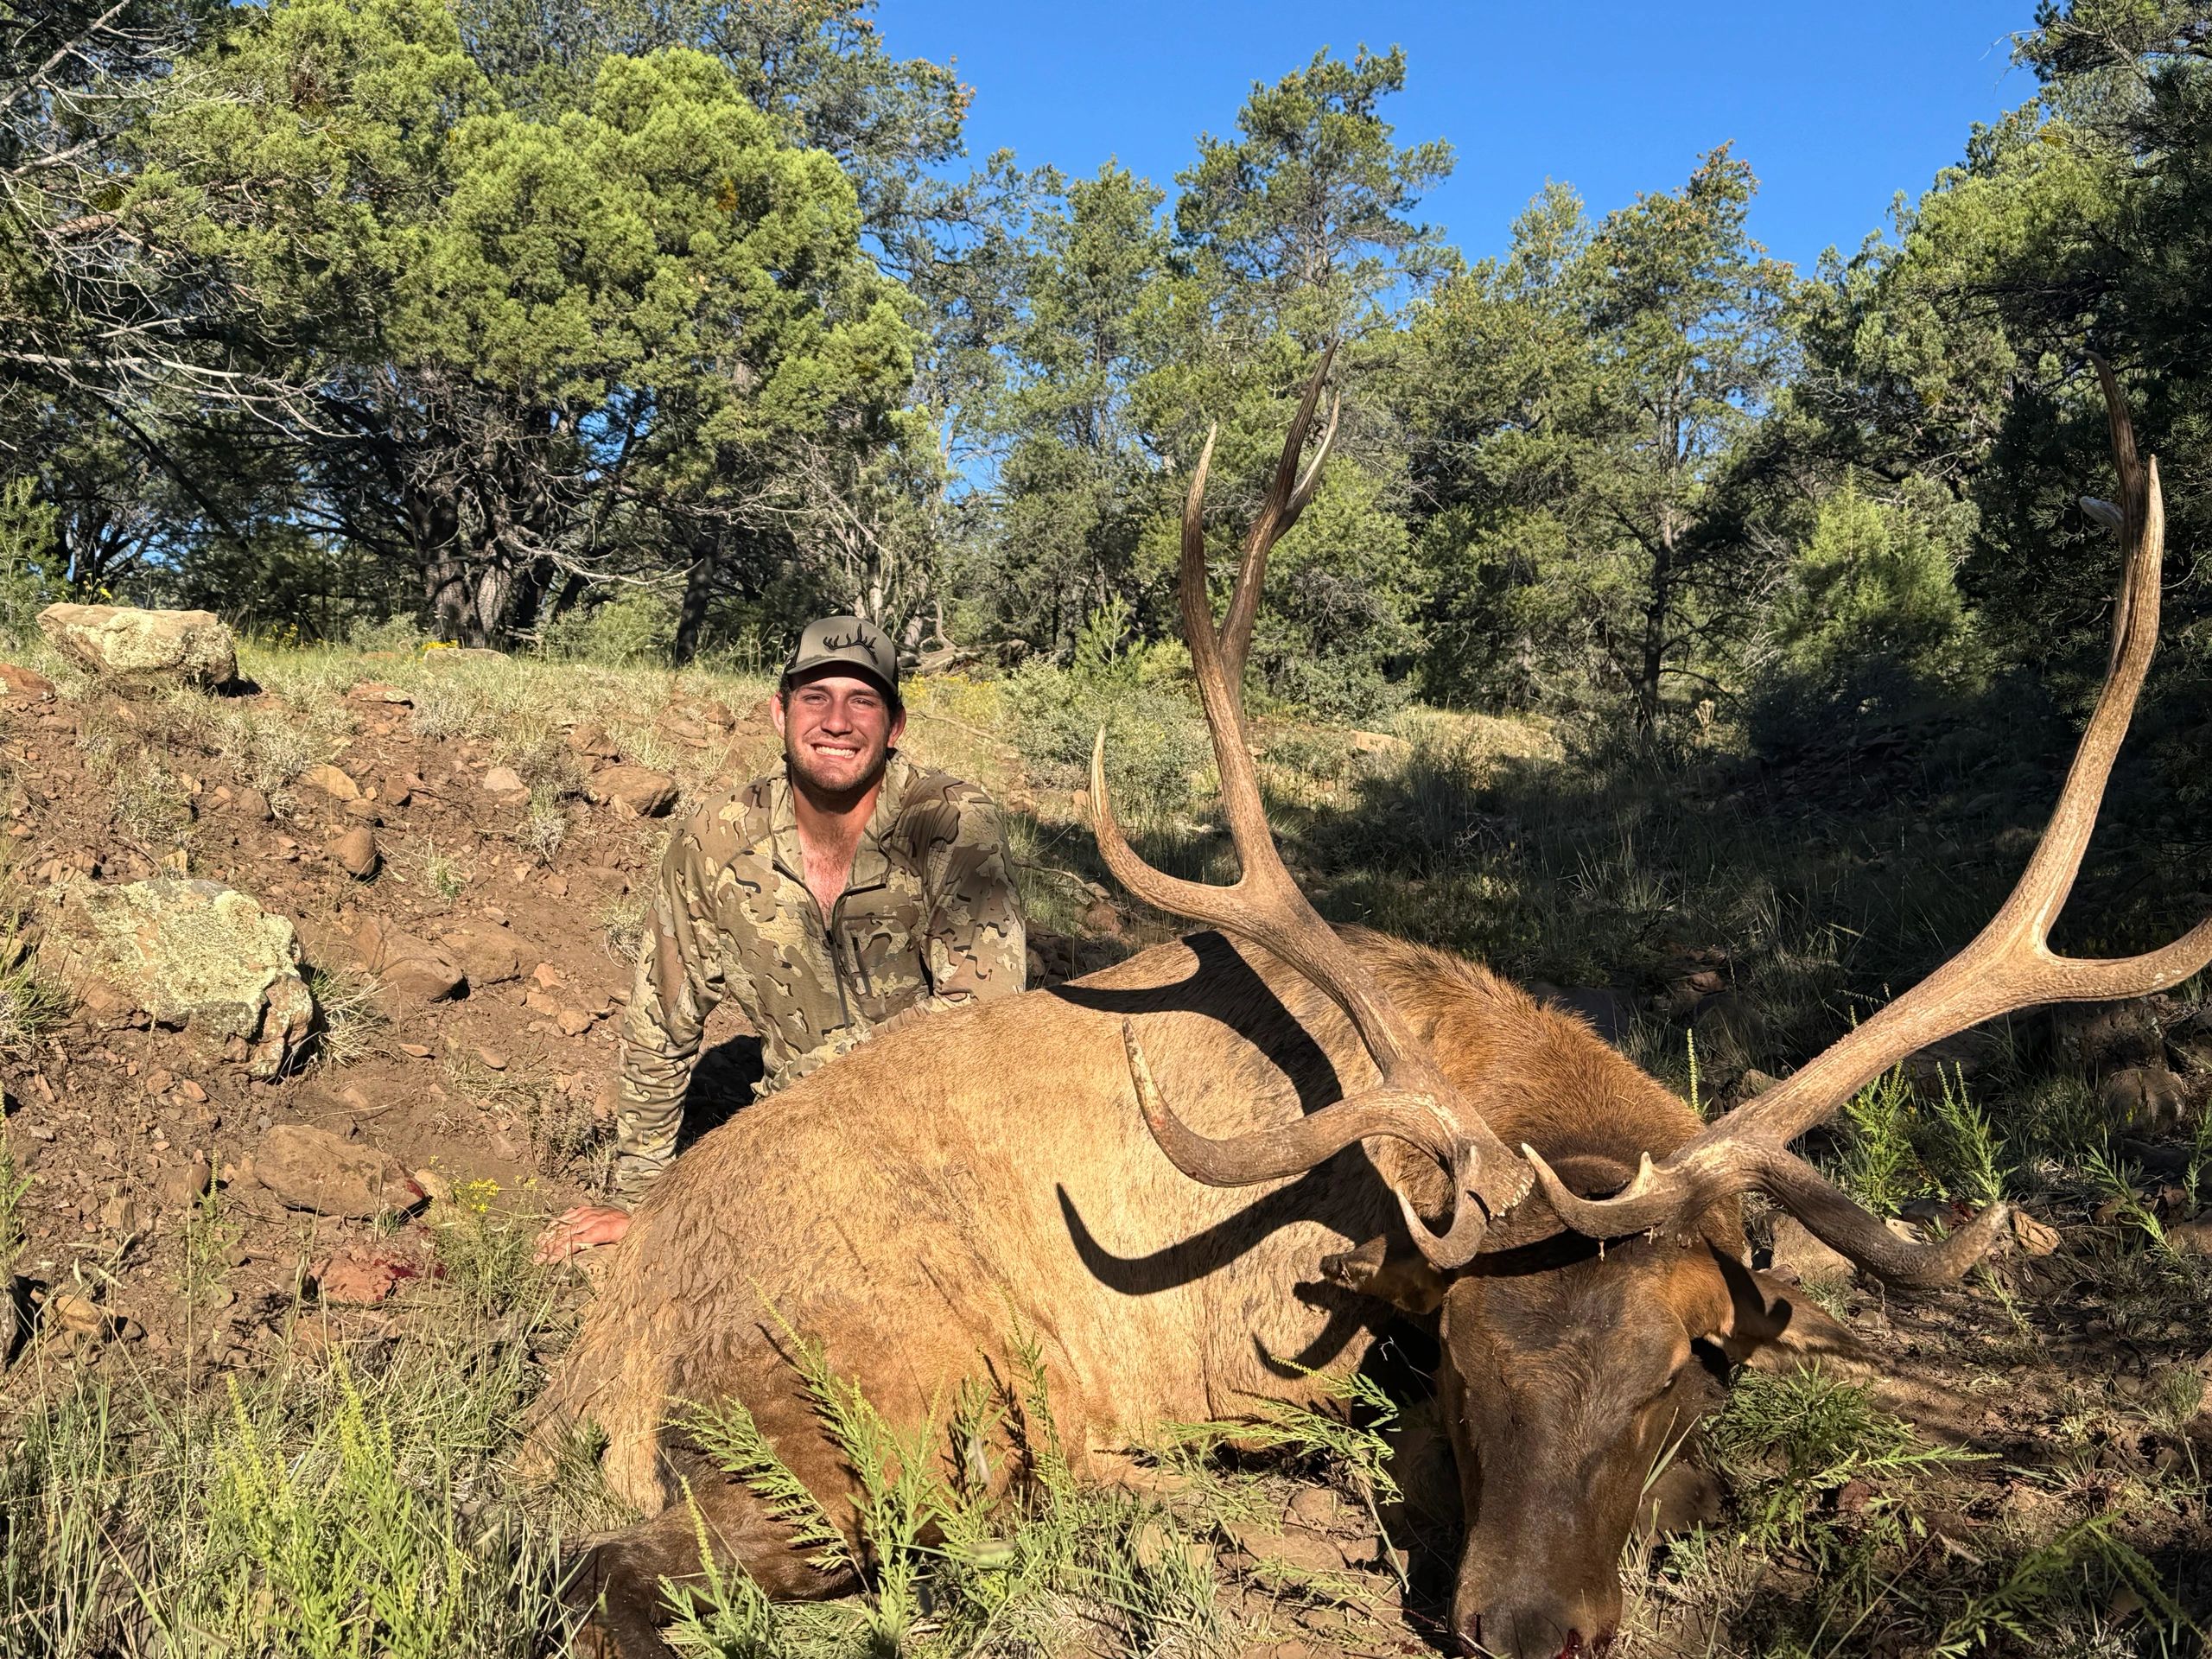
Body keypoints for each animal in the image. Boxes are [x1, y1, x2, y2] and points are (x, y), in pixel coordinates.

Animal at [541, 350, 2210, 1659]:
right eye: (1462, 1359)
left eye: (1685, 1365)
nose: (1522, 1626)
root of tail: (595, 1372)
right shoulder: (1288, 1363)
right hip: (872, 1405)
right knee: (628, 1570)